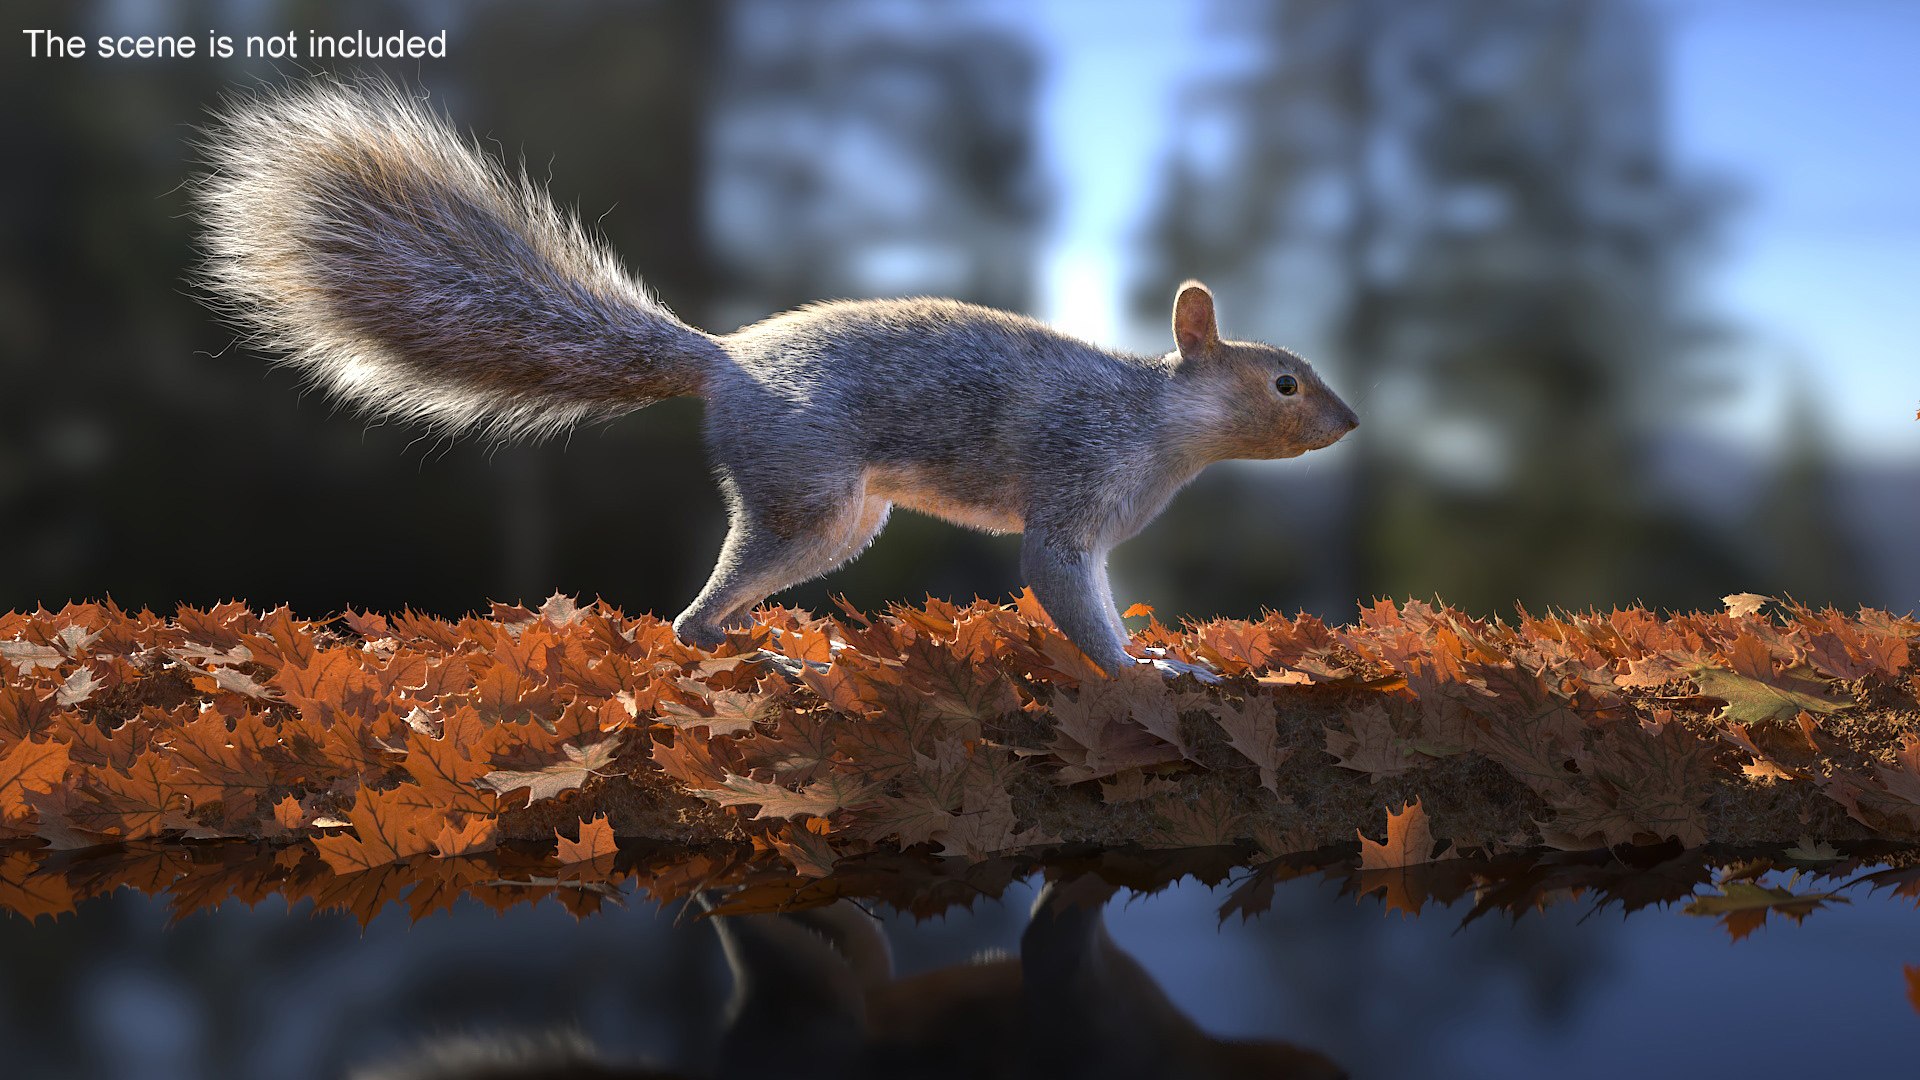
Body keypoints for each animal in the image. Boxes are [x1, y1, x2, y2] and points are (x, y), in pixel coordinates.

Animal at [197, 80, 1358, 676]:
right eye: (1284, 382)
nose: (1349, 422)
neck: (1157, 424)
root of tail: (725, 362)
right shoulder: (1075, 484)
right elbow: (1062, 582)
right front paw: (1143, 669)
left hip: (842, 519)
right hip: (807, 495)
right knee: (688, 620)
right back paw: (754, 655)